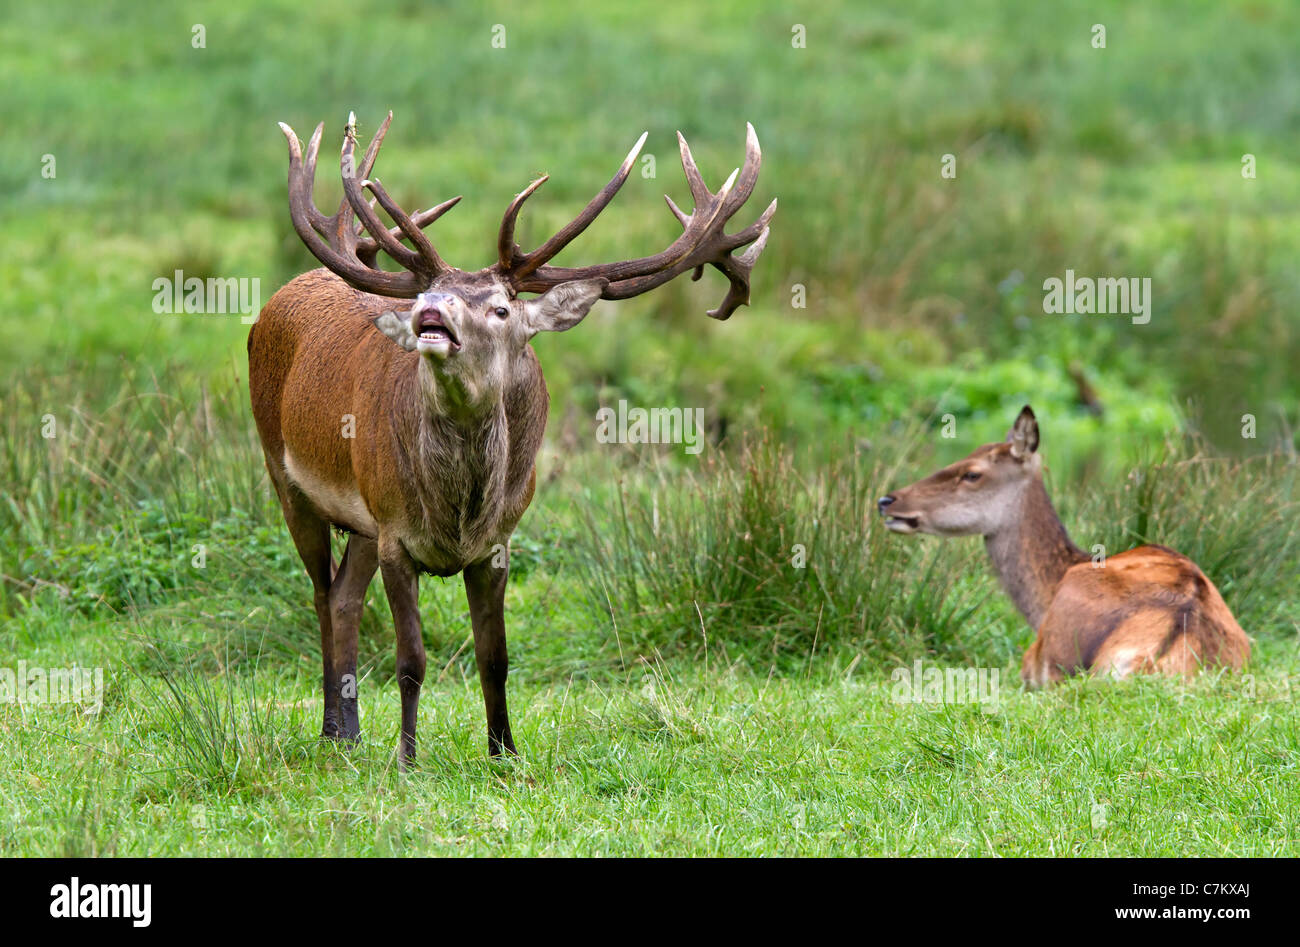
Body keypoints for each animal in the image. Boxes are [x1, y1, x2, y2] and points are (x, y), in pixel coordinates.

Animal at [248, 112, 774, 764]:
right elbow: (410, 661)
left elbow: (494, 657)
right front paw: (408, 758)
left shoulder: (497, 538)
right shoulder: (396, 532)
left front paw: (504, 751)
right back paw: (330, 730)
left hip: (362, 519)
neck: (460, 509)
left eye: (501, 308)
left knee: (344, 596)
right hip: (286, 475)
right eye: (426, 294)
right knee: (322, 594)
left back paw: (349, 732)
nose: (430, 312)